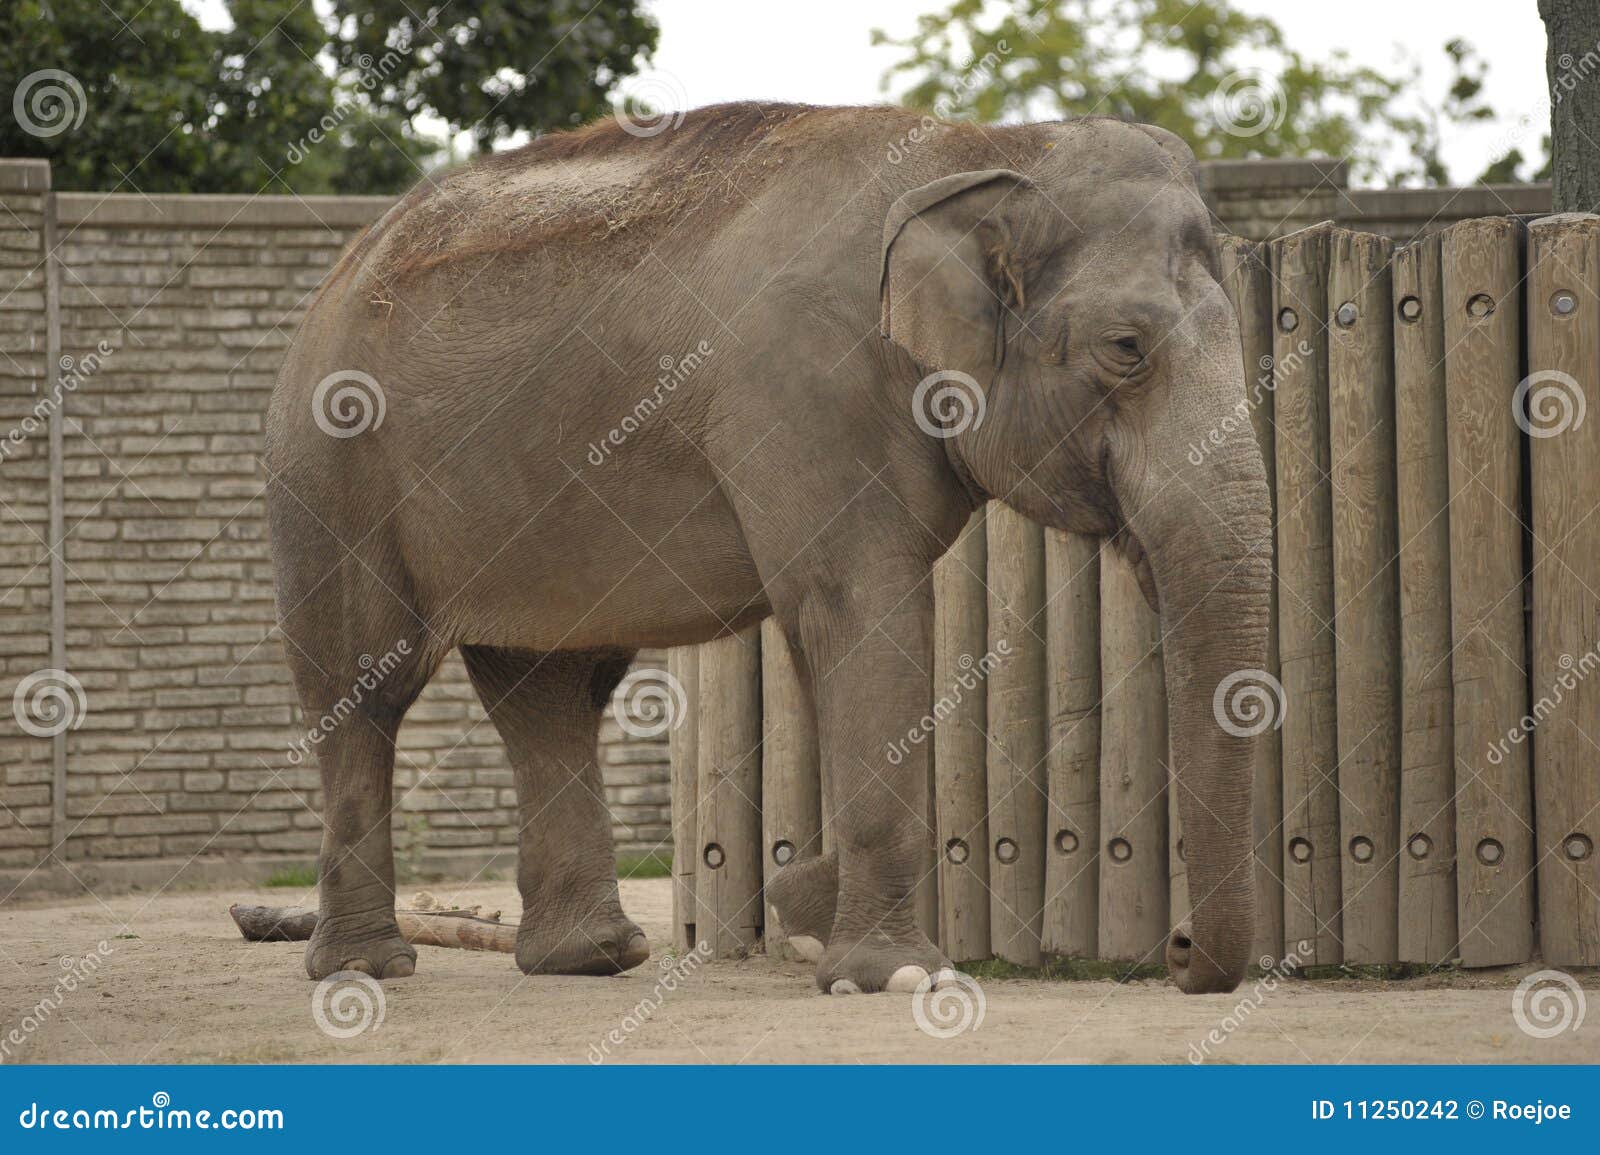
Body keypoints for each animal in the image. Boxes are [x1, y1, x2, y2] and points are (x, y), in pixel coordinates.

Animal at [265, 101, 1272, 996]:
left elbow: (828, 631)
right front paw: (896, 973)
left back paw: (590, 958)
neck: (981, 148)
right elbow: (858, 607)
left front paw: (809, 903)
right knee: (365, 686)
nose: (1182, 952)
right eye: (1126, 347)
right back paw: (368, 969)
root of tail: (341, 269)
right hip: (330, 471)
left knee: (549, 687)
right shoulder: (803, 387)